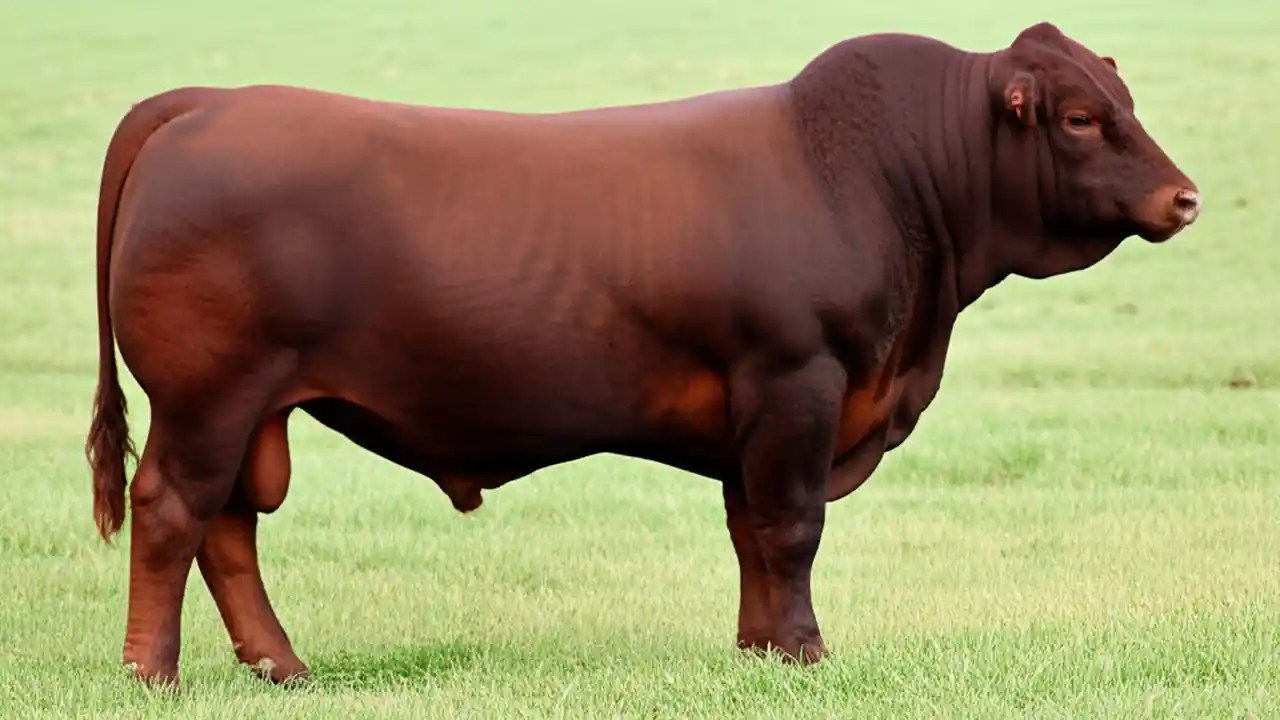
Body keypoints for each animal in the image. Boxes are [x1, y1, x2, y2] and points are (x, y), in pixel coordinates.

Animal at [86, 21, 1200, 687]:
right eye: (1079, 117)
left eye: (1124, 102)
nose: (1183, 197)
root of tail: (206, 99)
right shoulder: (797, 382)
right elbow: (791, 528)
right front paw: (804, 652)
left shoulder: (755, 413)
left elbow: (748, 530)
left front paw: (757, 651)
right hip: (208, 395)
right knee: (174, 512)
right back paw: (152, 672)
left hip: (247, 407)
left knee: (230, 527)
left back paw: (280, 666)